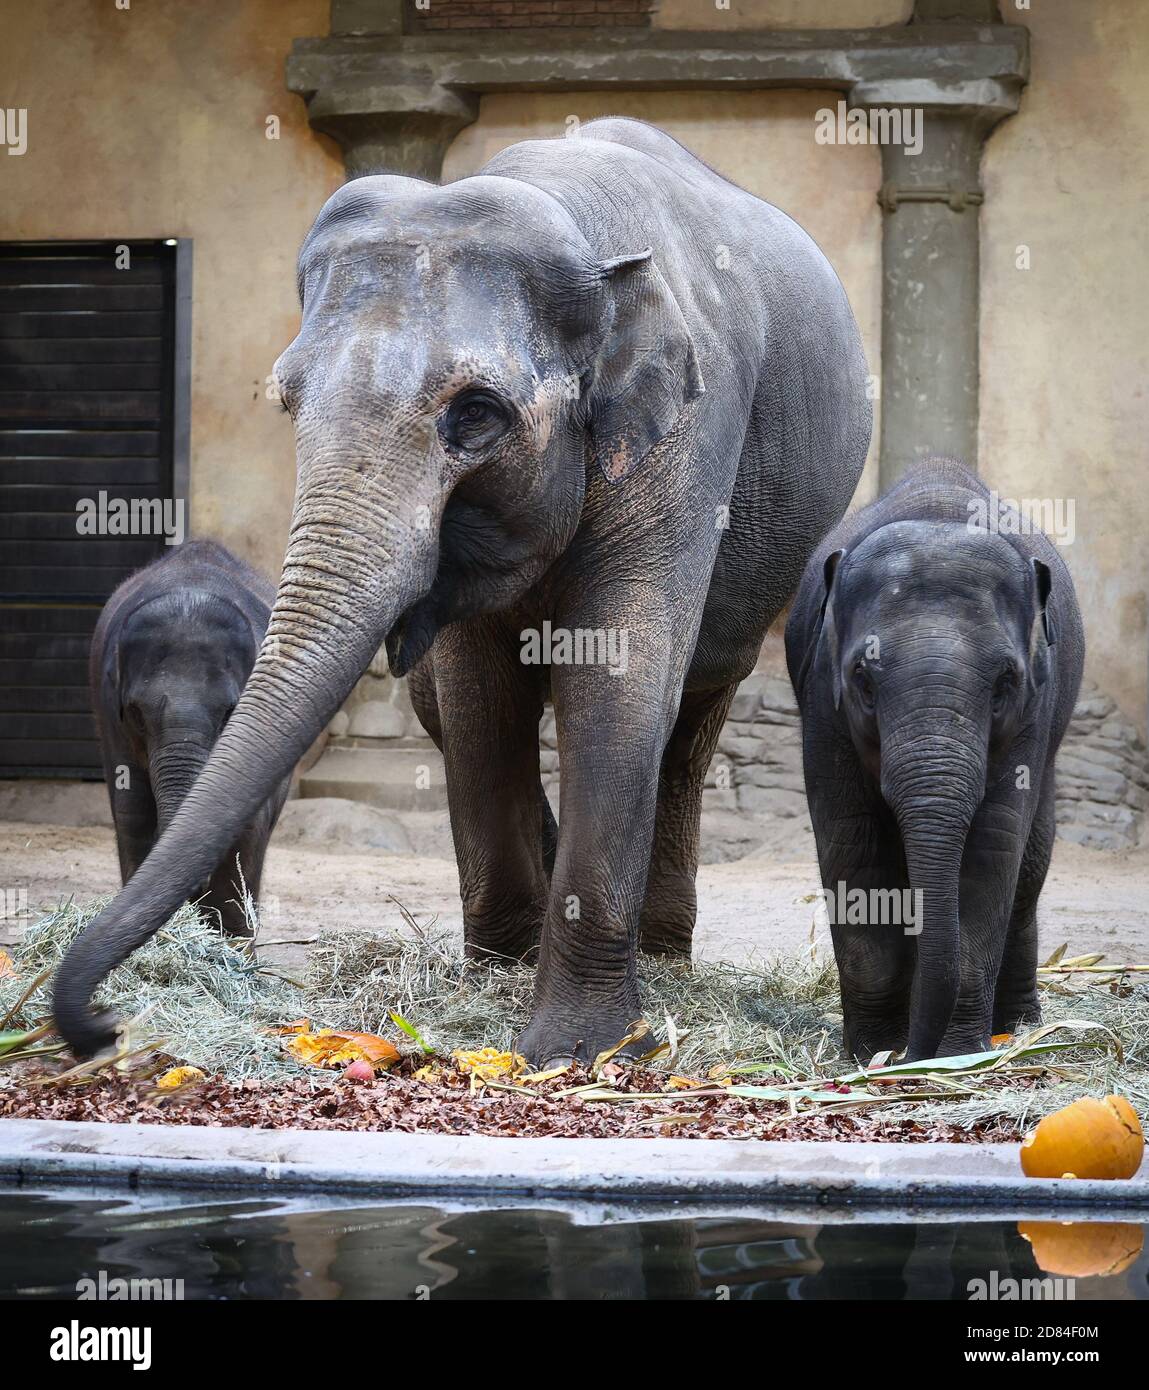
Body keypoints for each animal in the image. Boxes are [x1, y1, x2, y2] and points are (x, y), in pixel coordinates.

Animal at [87, 539, 291, 935]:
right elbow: (132, 810)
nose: (194, 890)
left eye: (229, 711)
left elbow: (247, 826)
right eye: (136, 712)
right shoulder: (109, 714)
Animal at [785, 458, 1084, 1063]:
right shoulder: (822, 702)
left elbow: (994, 846)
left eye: (1006, 681)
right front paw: (871, 1055)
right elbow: (852, 841)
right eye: (862, 678)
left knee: (1030, 867)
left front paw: (958, 1055)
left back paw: (1019, 1024)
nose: (907, 1056)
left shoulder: (1033, 713)